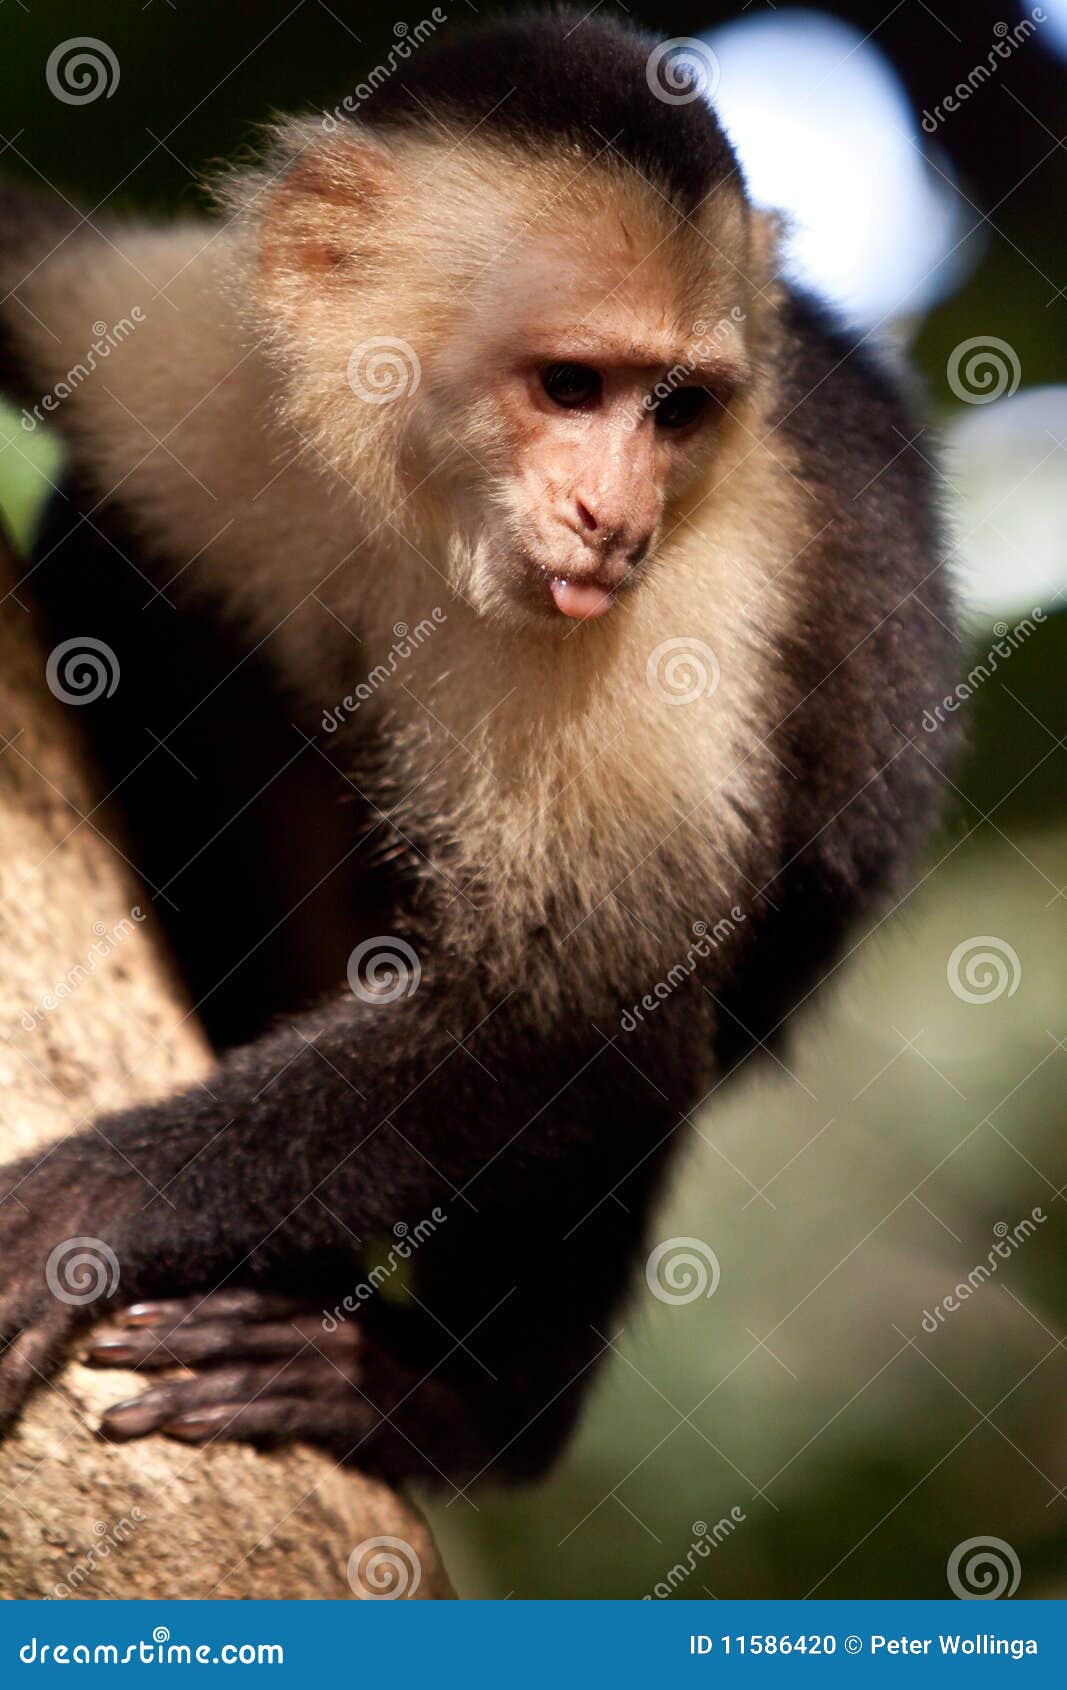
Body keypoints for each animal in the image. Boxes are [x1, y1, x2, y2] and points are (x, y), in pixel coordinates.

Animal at [0, 10, 959, 1490]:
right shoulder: (190, 351)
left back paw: (453, 1409)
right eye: (567, 386)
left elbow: (584, 1012)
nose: (612, 517)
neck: (420, 502)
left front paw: (88, 1206)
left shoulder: (664, 609)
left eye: (676, 410)